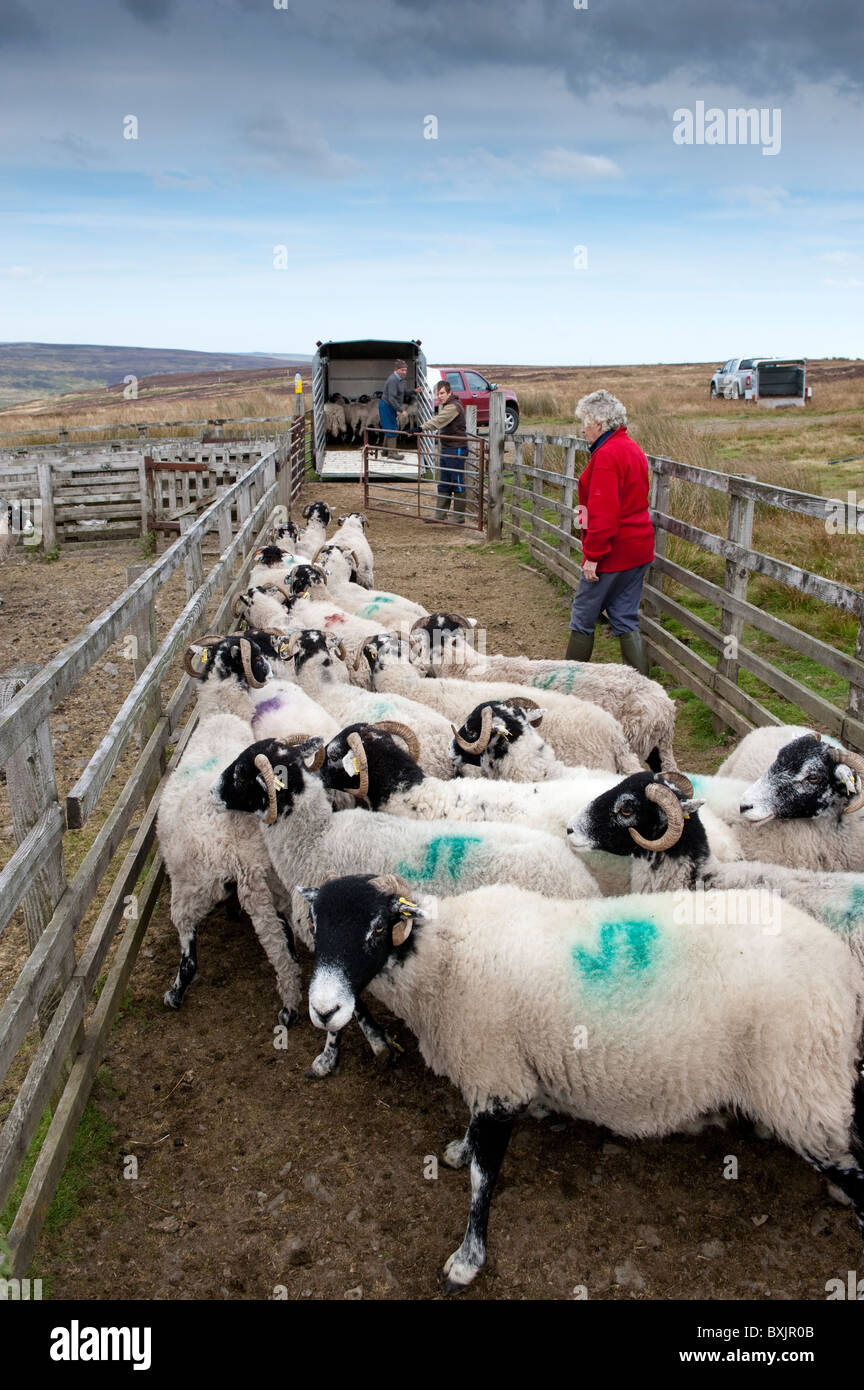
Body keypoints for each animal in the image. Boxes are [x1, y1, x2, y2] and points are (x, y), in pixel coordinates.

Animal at [156, 711, 302, 1025]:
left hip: (191, 890)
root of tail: (242, 853)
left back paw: (175, 994)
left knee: (189, 954)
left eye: (240, 773)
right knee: (287, 940)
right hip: (274, 884)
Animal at [302, 871, 864, 1292]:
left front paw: (466, 1261)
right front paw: (460, 1147)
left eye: (377, 930)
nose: (324, 1011)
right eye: (317, 928)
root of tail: (840, 964)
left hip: (800, 1085)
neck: (448, 958)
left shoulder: (499, 1075)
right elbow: (473, 1144)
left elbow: (483, 1179)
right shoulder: (492, 1072)